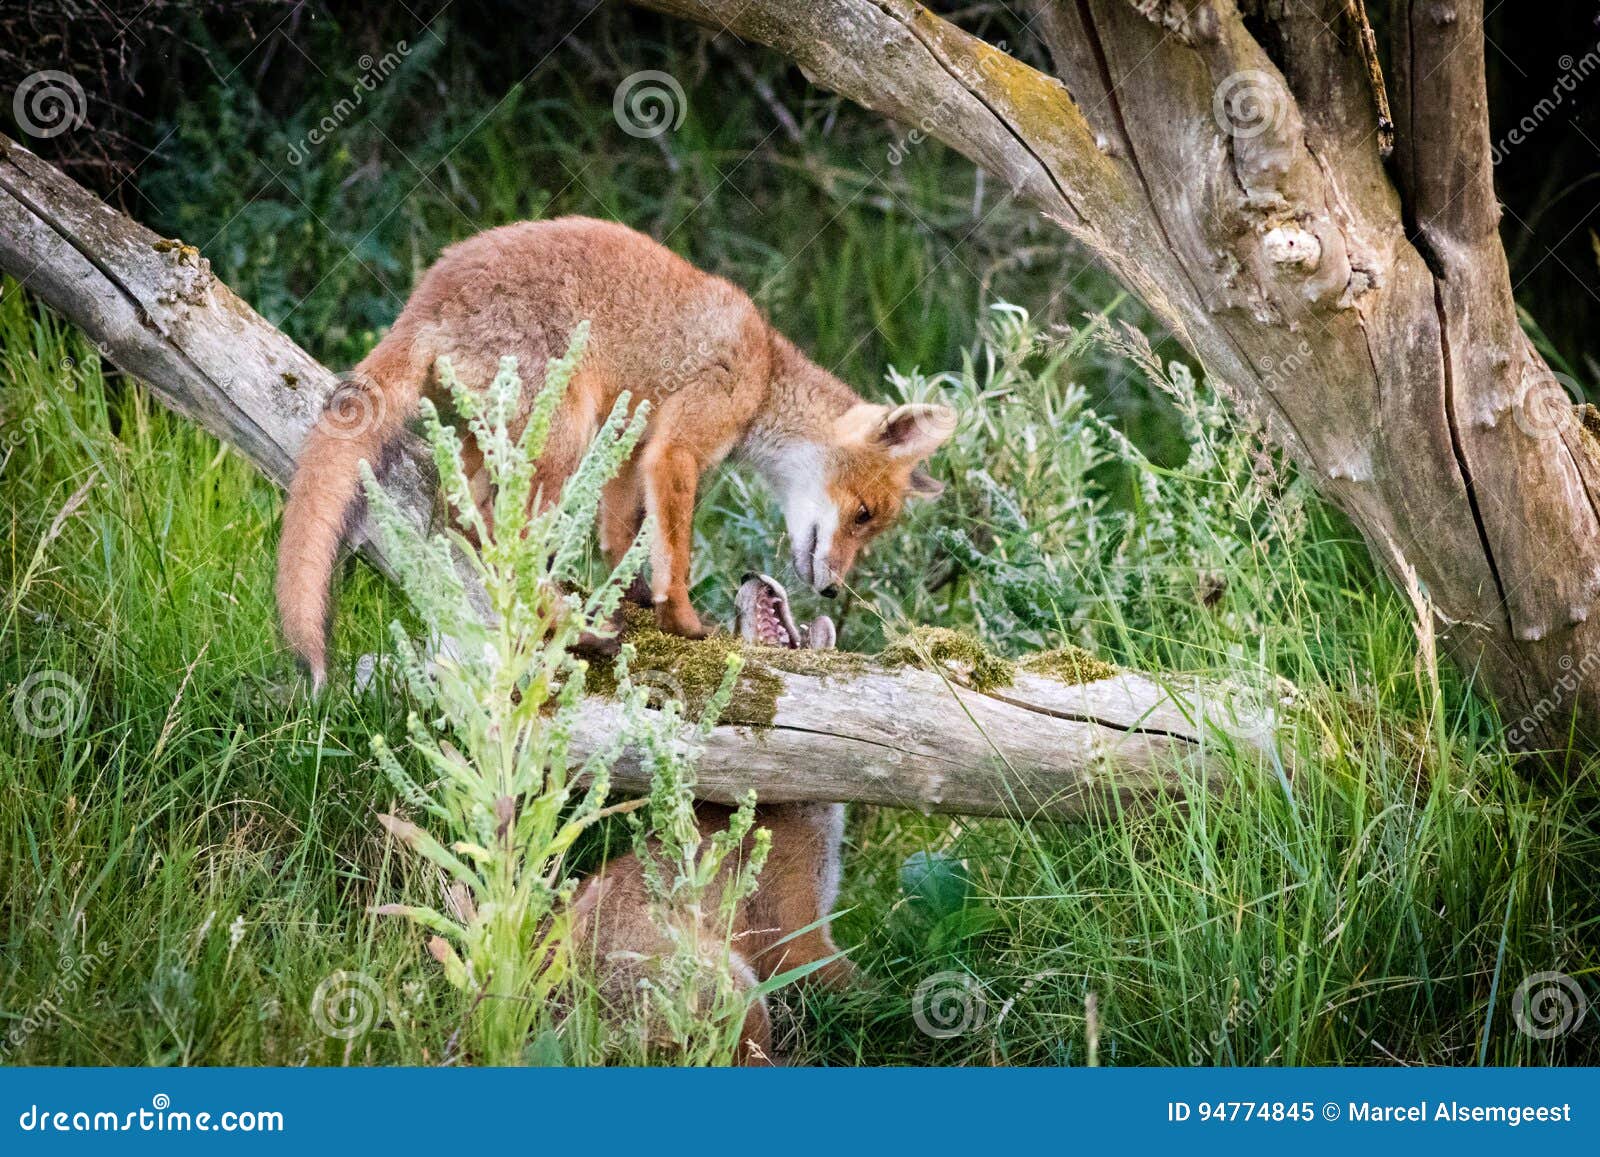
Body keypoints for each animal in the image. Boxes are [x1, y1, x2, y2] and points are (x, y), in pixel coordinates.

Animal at [276, 216, 957, 688]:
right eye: (864, 515)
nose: (834, 591)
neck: (764, 373)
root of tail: (427, 295)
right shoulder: (676, 450)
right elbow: (674, 555)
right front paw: (685, 623)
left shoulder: (633, 455)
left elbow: (621, 539)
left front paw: (633, 598)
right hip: (564, 433)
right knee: (505, 535)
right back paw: (572, 626)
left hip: (504, 440)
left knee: (464, 519)